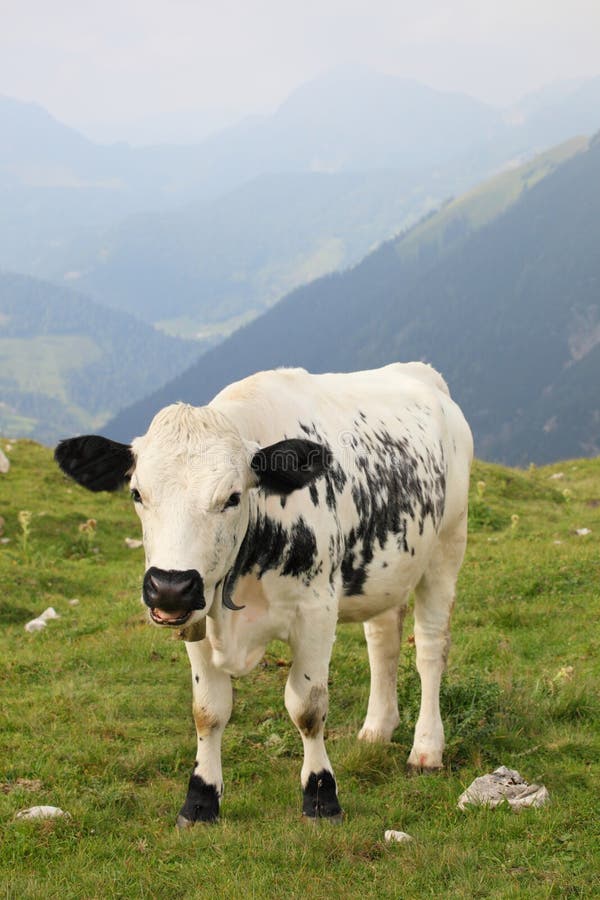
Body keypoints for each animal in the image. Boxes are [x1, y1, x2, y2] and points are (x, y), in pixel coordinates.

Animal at [55, 362, 473, 826]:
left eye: (232, 497)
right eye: (137, 493)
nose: (169, 586)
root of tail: (421, 372)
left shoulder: (316, 611)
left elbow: (308, 707)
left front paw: (321, 797)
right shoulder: (198, 616)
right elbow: (208, 709)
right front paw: (200, 800)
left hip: (447, 547)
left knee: (430, 648)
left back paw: (427, 749)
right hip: (385, 571)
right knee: (383, 641)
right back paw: (376, 731)